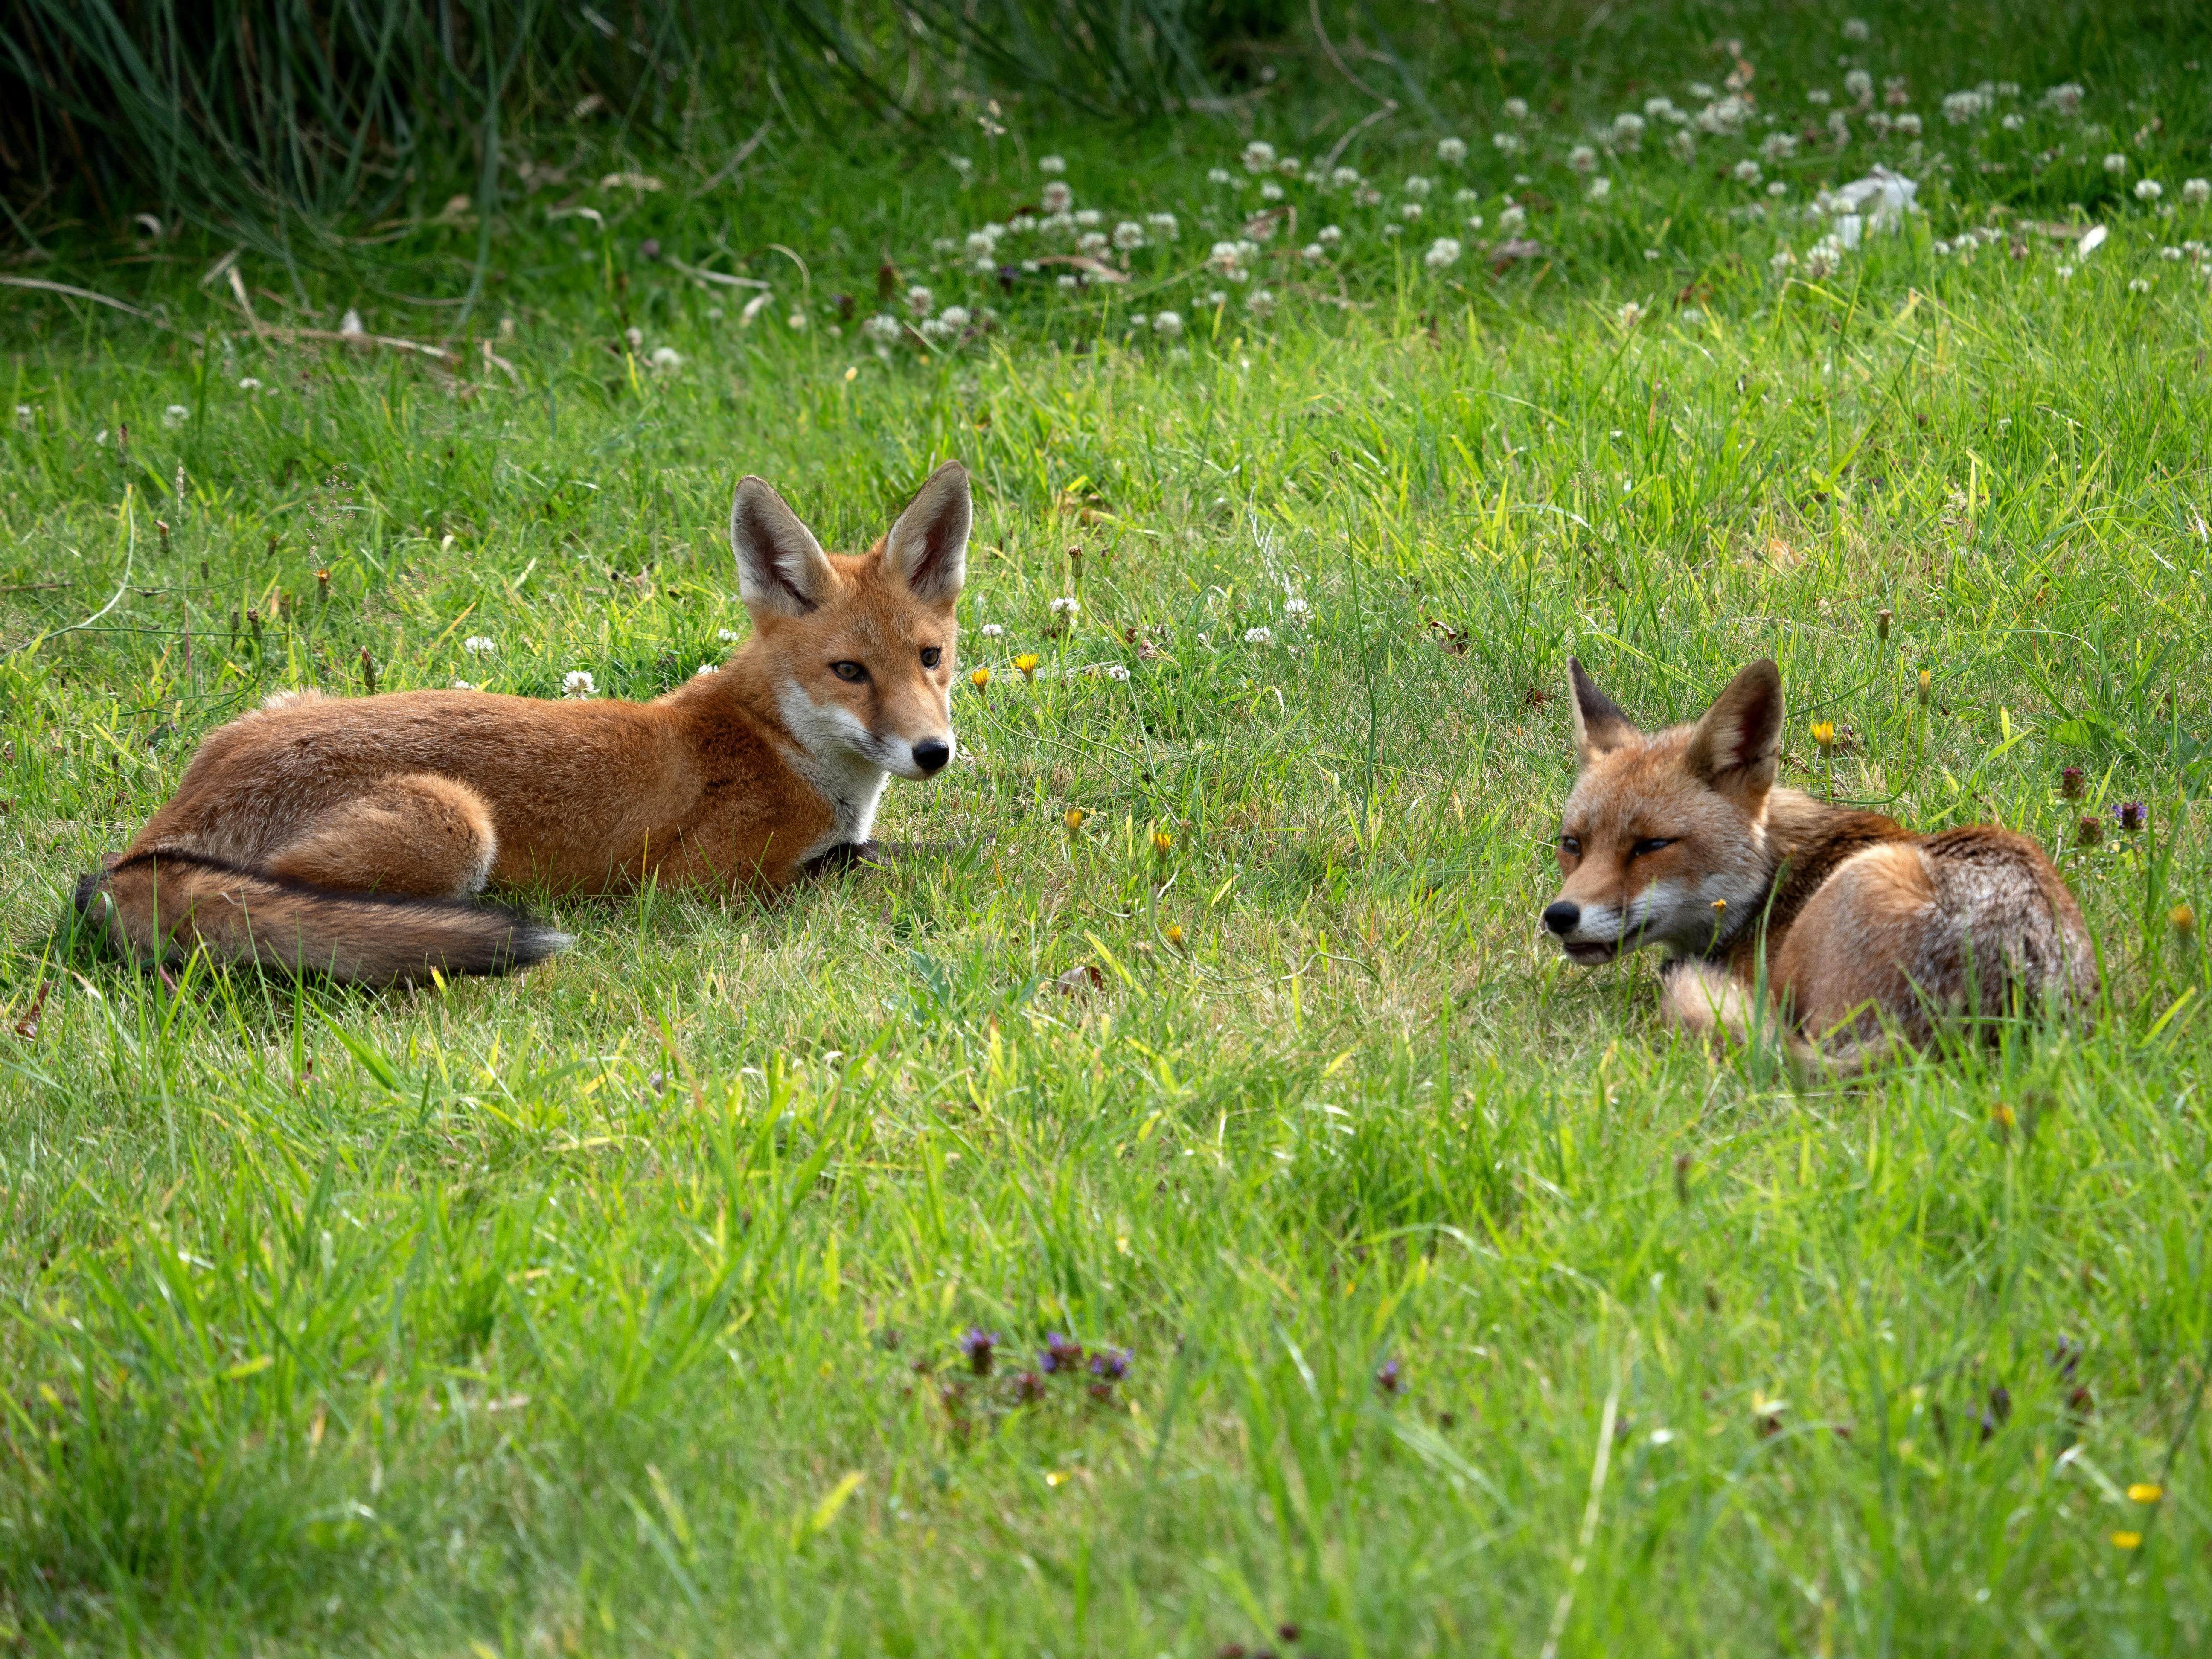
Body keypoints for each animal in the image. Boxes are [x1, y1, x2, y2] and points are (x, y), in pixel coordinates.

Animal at [71, 460, 974, 985]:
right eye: (849, 671)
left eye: (930, 658)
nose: (932, 752)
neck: (778, 743)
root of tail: (139, 851)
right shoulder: (705, 885)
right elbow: (883, 864)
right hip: (453, 825)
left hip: (287, 706)